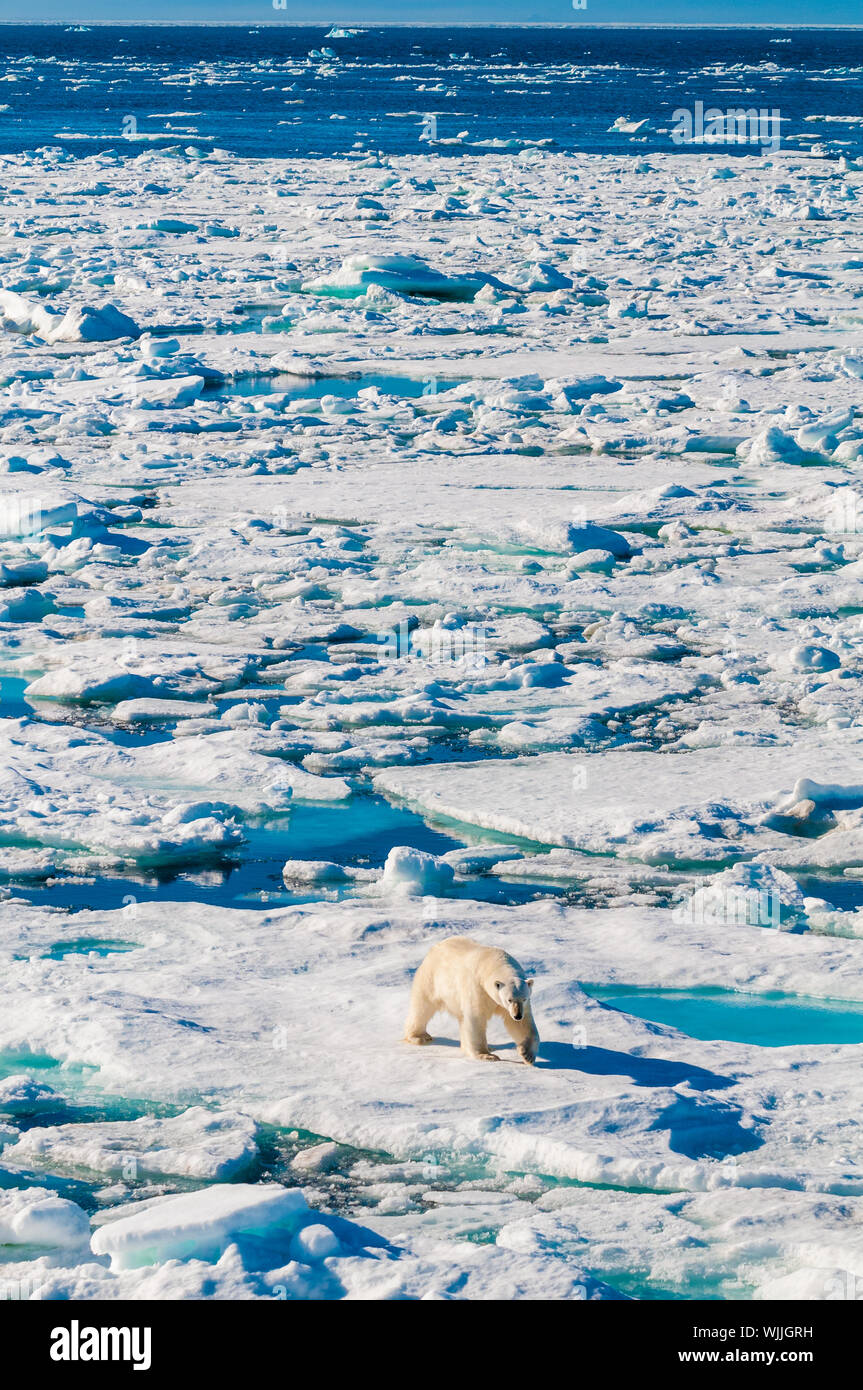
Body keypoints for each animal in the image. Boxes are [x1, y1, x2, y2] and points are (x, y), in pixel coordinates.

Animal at [404, 936, 539, 1065]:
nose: (517, 1015)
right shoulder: (477, 988)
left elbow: (521, 1024)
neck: (492, 962)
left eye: (524, 998)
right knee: (422, 1006)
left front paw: (527, 1054)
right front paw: (486, 1055)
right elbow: (476, 1017)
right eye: (509, 999)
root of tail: (435, 947)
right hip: (431, 978)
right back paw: (420, 1037)